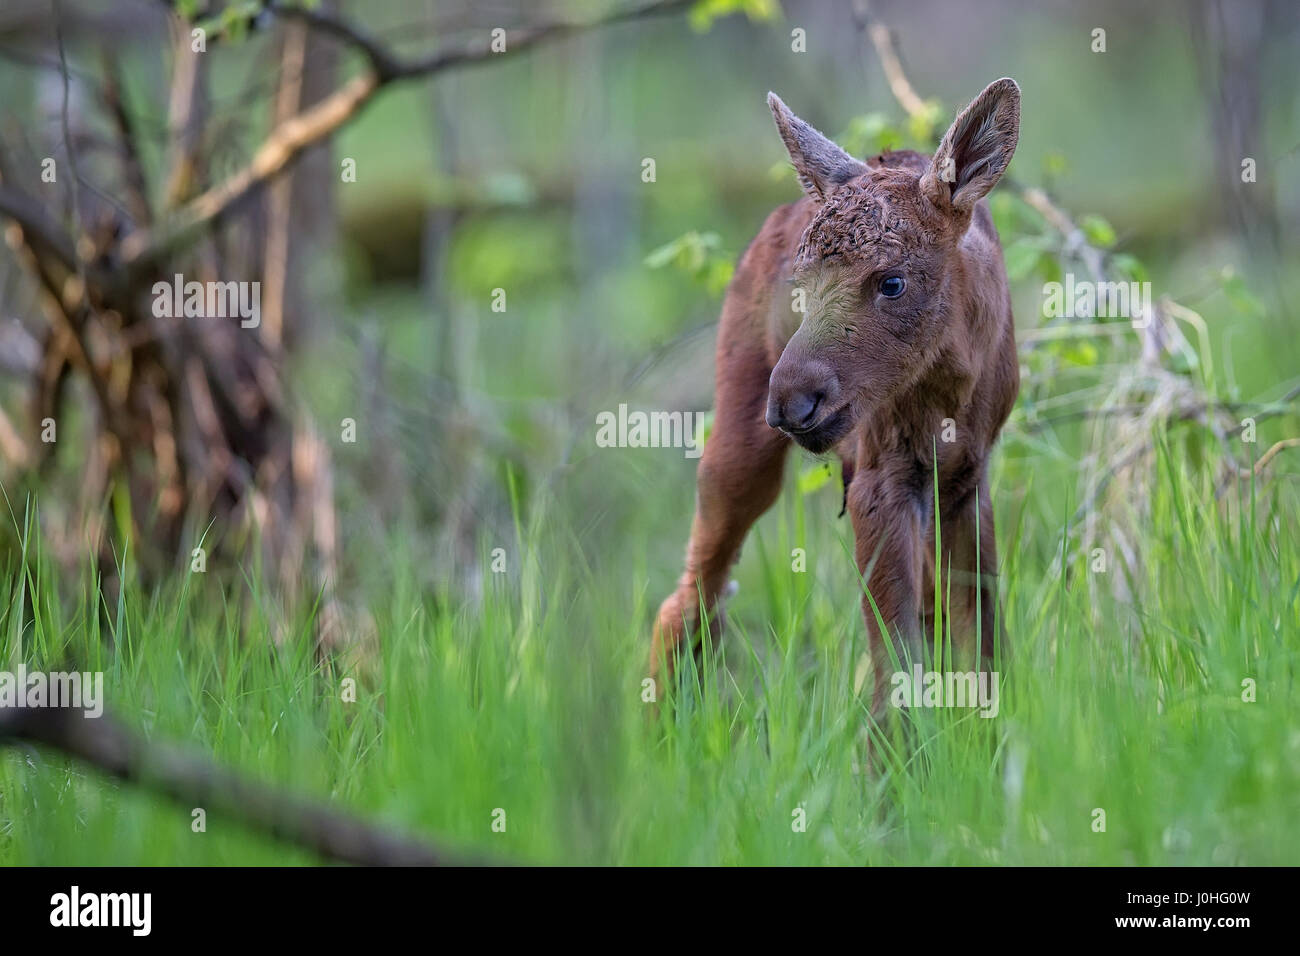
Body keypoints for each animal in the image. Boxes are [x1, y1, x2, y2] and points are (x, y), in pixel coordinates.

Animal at [649, 78, 1021, 718]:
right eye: (800, 286)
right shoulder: (880, 474)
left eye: (892, 281)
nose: (790, 402)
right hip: (739, 446)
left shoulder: (967, 477)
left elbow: (978, 651)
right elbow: (895, 669)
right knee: (692, 596)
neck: (949, 389)